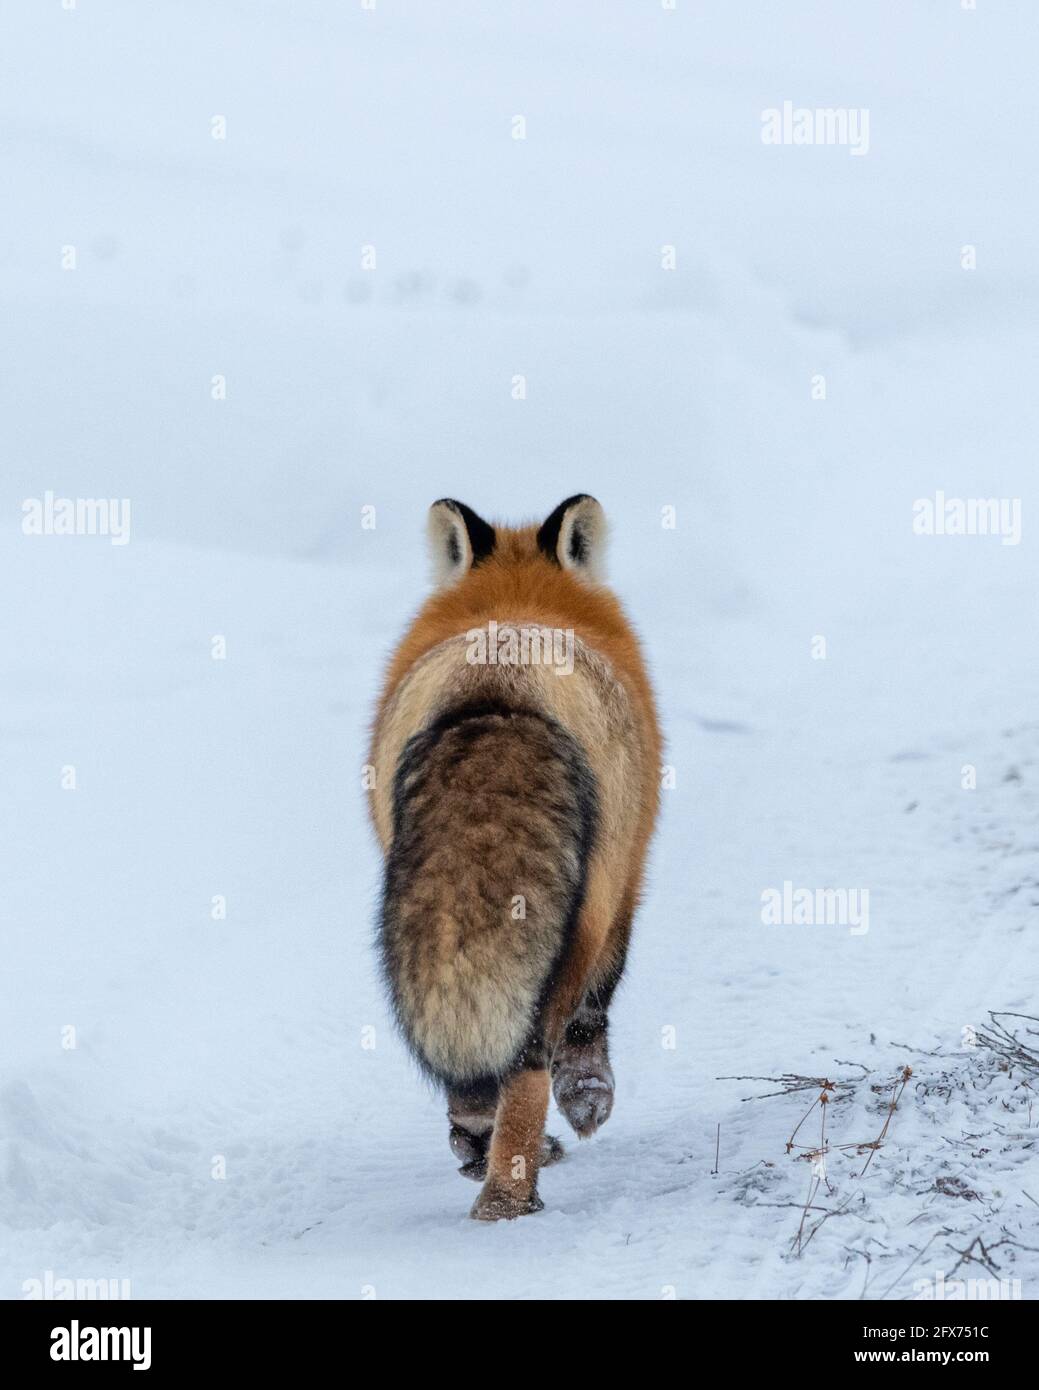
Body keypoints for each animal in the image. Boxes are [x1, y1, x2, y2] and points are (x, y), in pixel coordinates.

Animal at [369, 495, 661, 1220]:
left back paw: (480, 1152)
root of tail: (495, 685)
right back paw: (510, 1196)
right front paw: (588, 1094)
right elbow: (595, 1013)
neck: (518, 604)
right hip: (586, 910)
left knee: (471, 1072)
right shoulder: (627, 883)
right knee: (532, 1053)